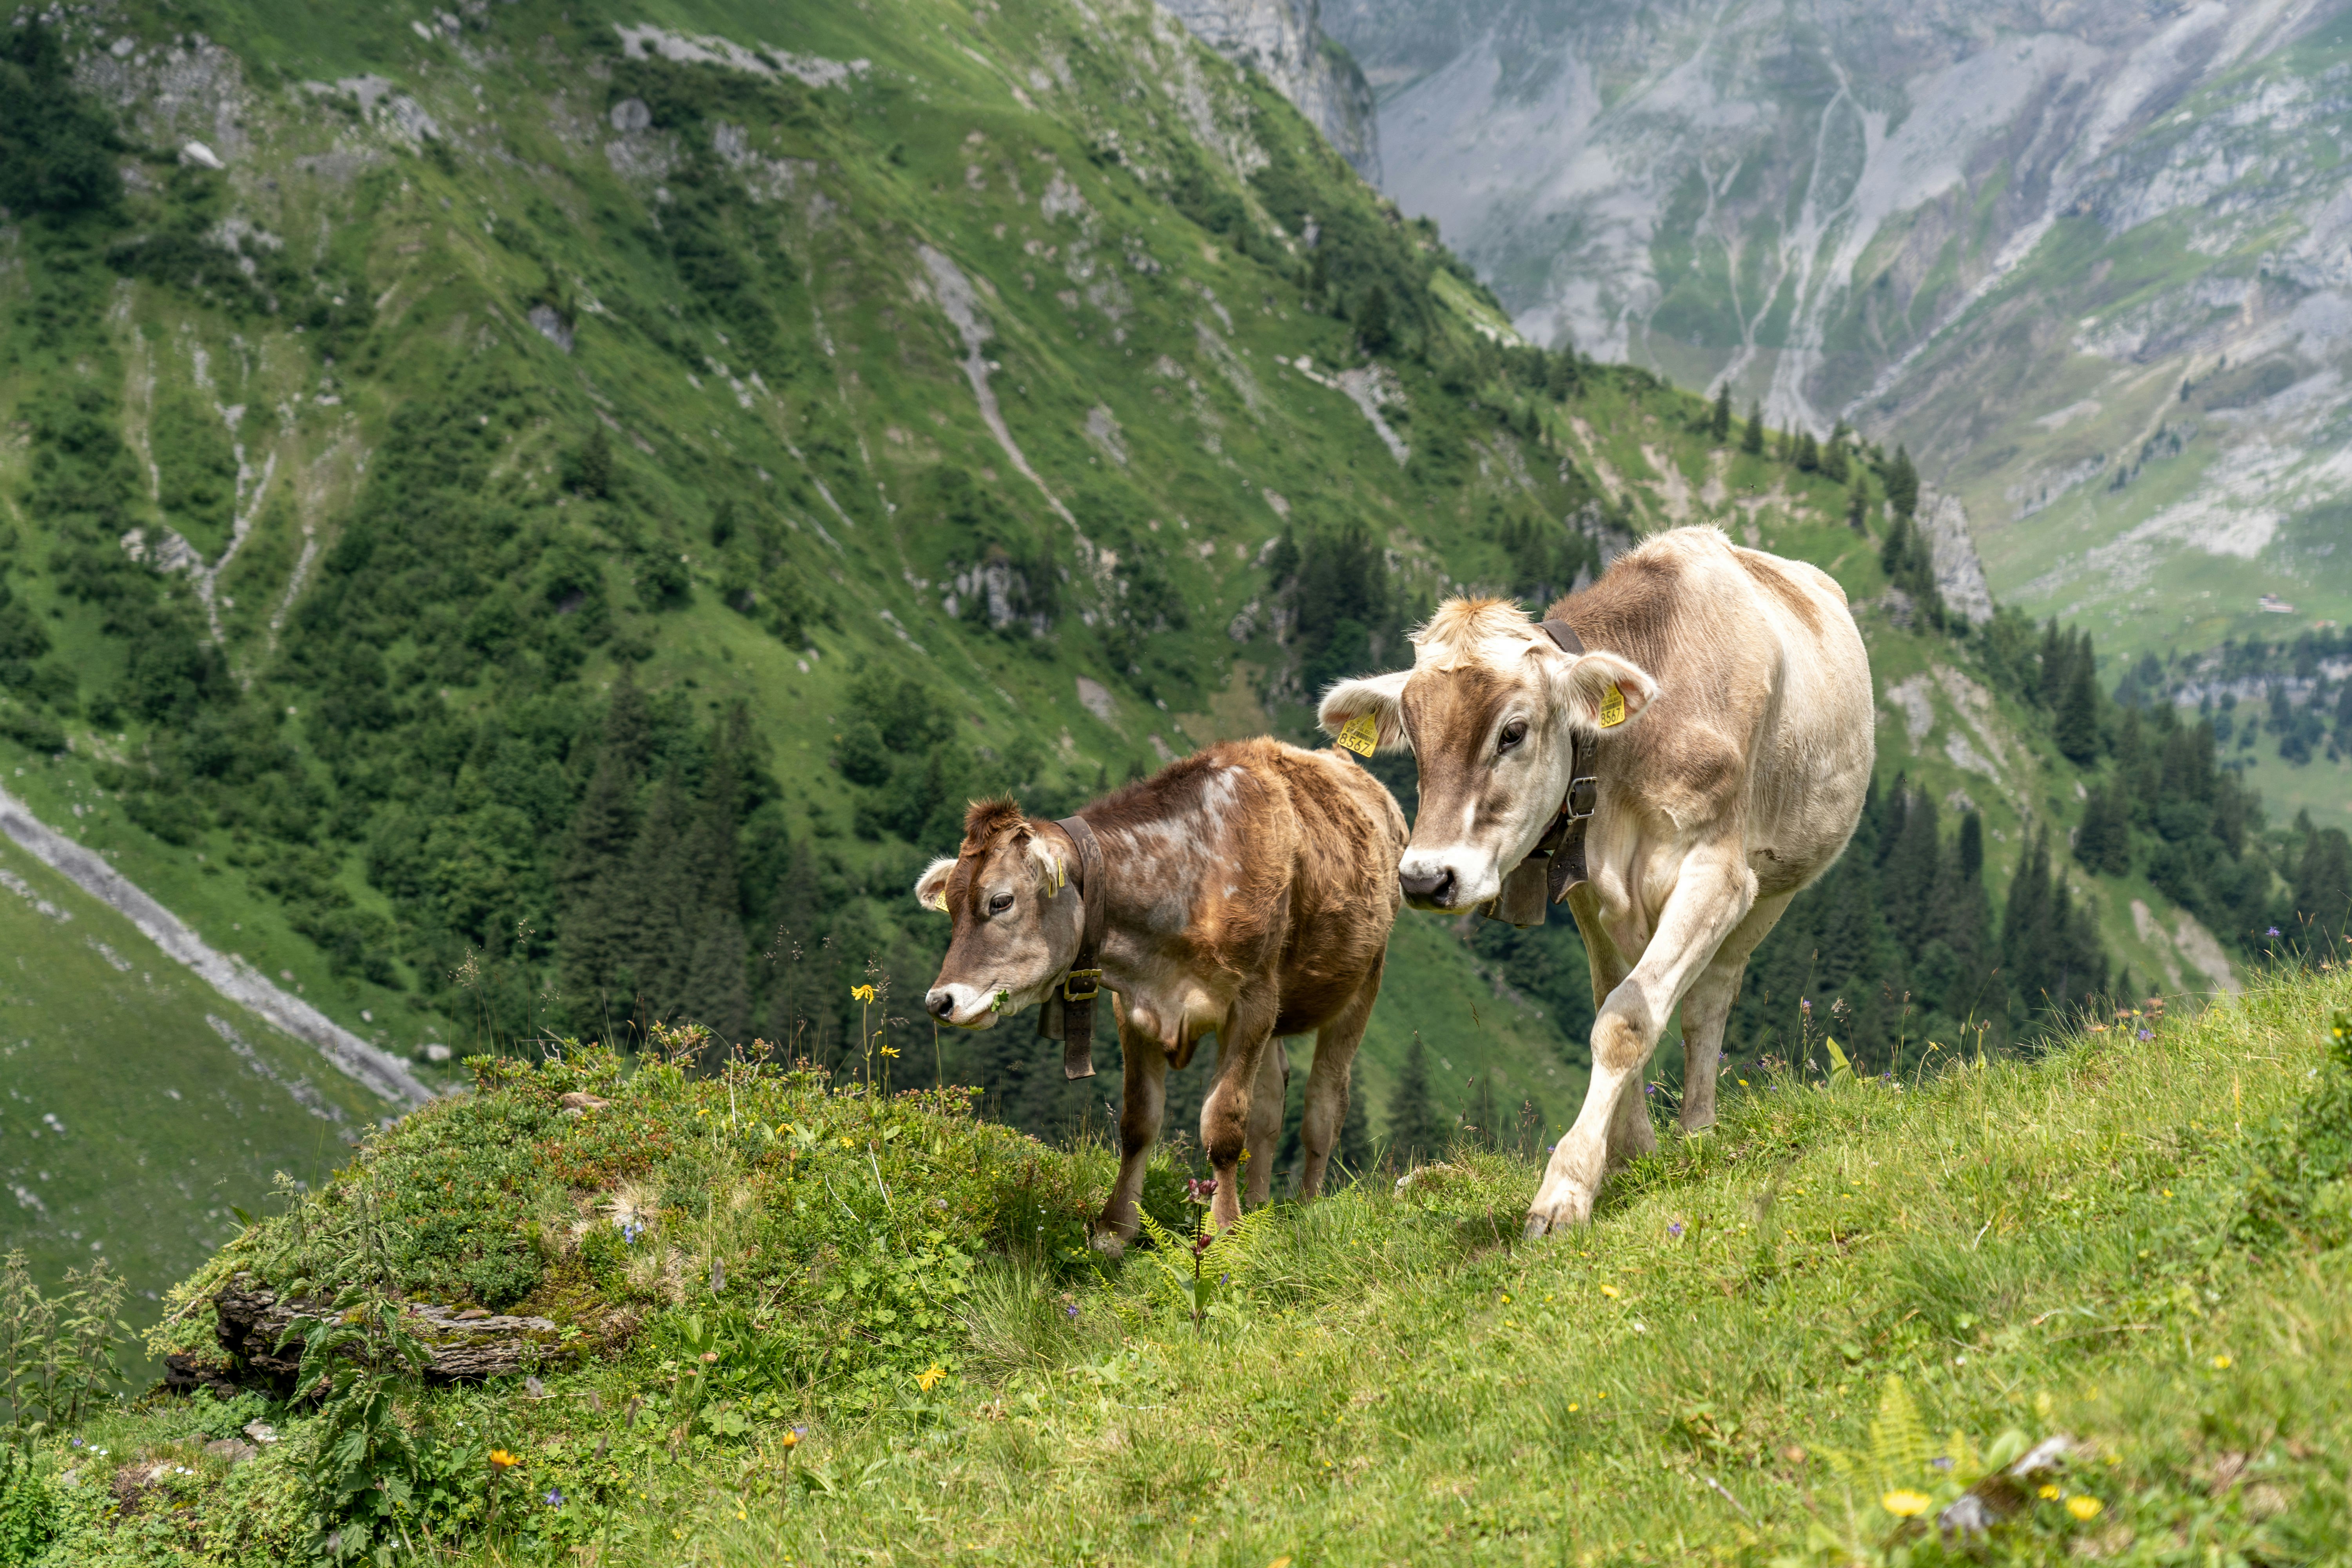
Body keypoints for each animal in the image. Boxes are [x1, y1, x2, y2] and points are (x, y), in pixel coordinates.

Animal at [914, 738, 1408, 1237]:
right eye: (951, 908)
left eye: (1001, 901)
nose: (940, 1001)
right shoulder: (1133, 1006)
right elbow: (1139, 1121)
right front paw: (1115, 1229)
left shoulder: (1252, 1002)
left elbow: (1225, 1124)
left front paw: (1225, 1230)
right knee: (1270, 1104)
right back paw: (1258, 1206)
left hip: (1362, 982)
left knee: (1324, 1106)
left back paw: (1304, 1208)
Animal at [1316, 525, 1874, 1236]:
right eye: (1414, 739)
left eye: (1513, 731)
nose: (1424, 878)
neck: (1630, 758)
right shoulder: (1586, 893)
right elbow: (1612, 999)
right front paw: (1630, 1156)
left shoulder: (1718, 874)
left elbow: (1627, 1021)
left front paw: (1566, 1190)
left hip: (1773, 891)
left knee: (1708, 1001)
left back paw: (1698, 1131)